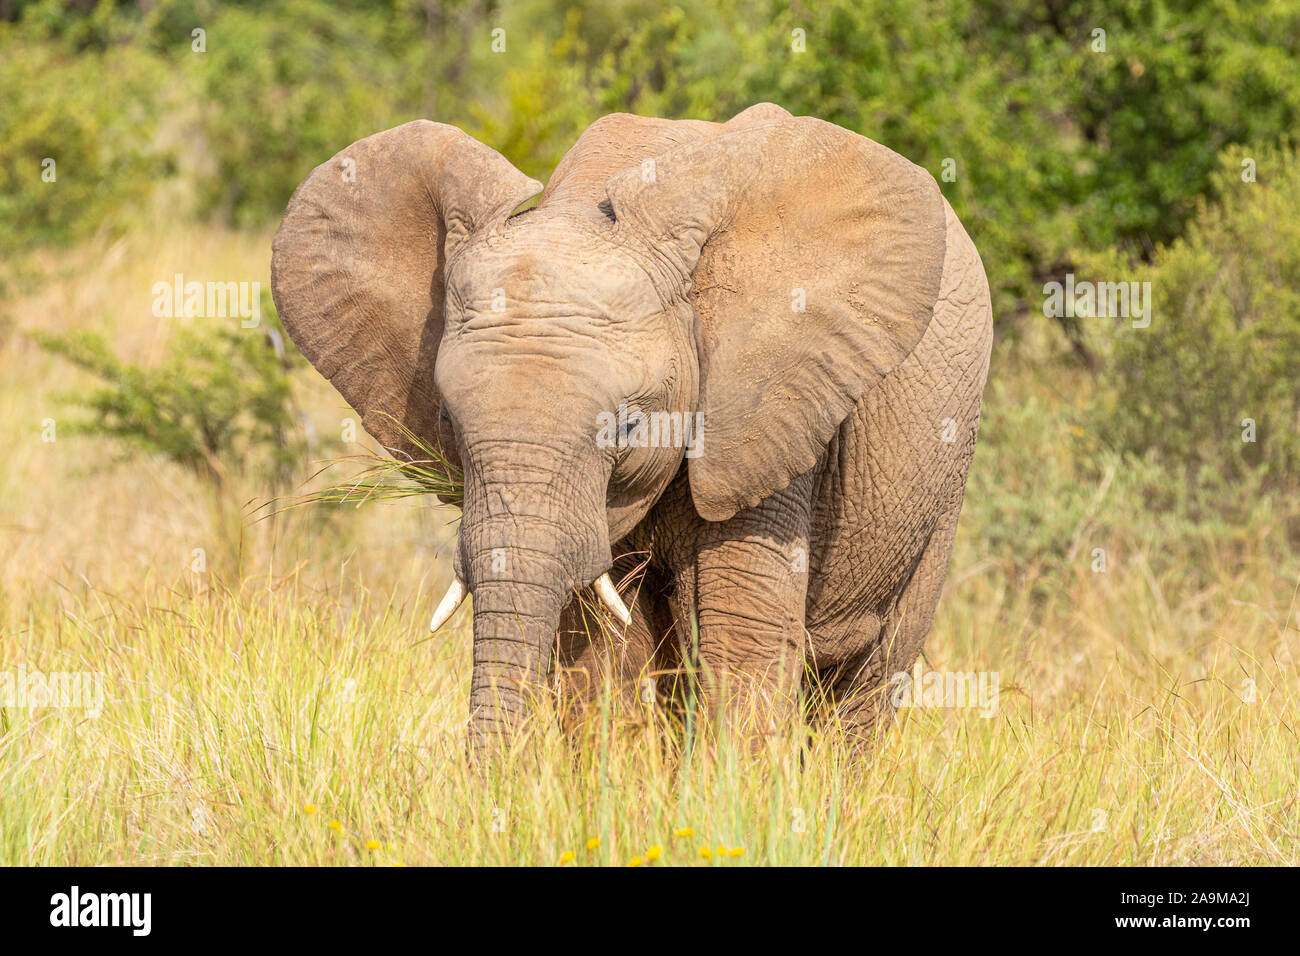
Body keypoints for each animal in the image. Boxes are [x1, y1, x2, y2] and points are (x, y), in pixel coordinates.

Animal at [270, 102, 993, 749]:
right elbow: (599, 653)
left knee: (870, 678)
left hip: (944, 472)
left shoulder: (771, 406)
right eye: (448, 418)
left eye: (628, 427)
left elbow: (743, 640)